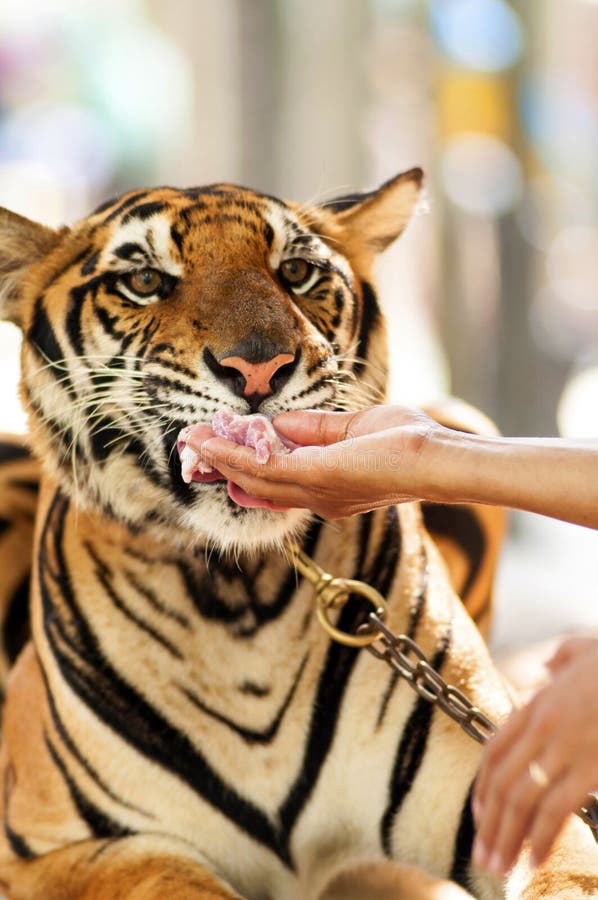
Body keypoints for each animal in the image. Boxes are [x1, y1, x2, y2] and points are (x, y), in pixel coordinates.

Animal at [0, 172, 594, 900]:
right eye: (143, 280)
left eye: (297, 272)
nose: (258, 370)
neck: (236, 597)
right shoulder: (52, 849)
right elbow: (175, 880)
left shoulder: (505, 781)